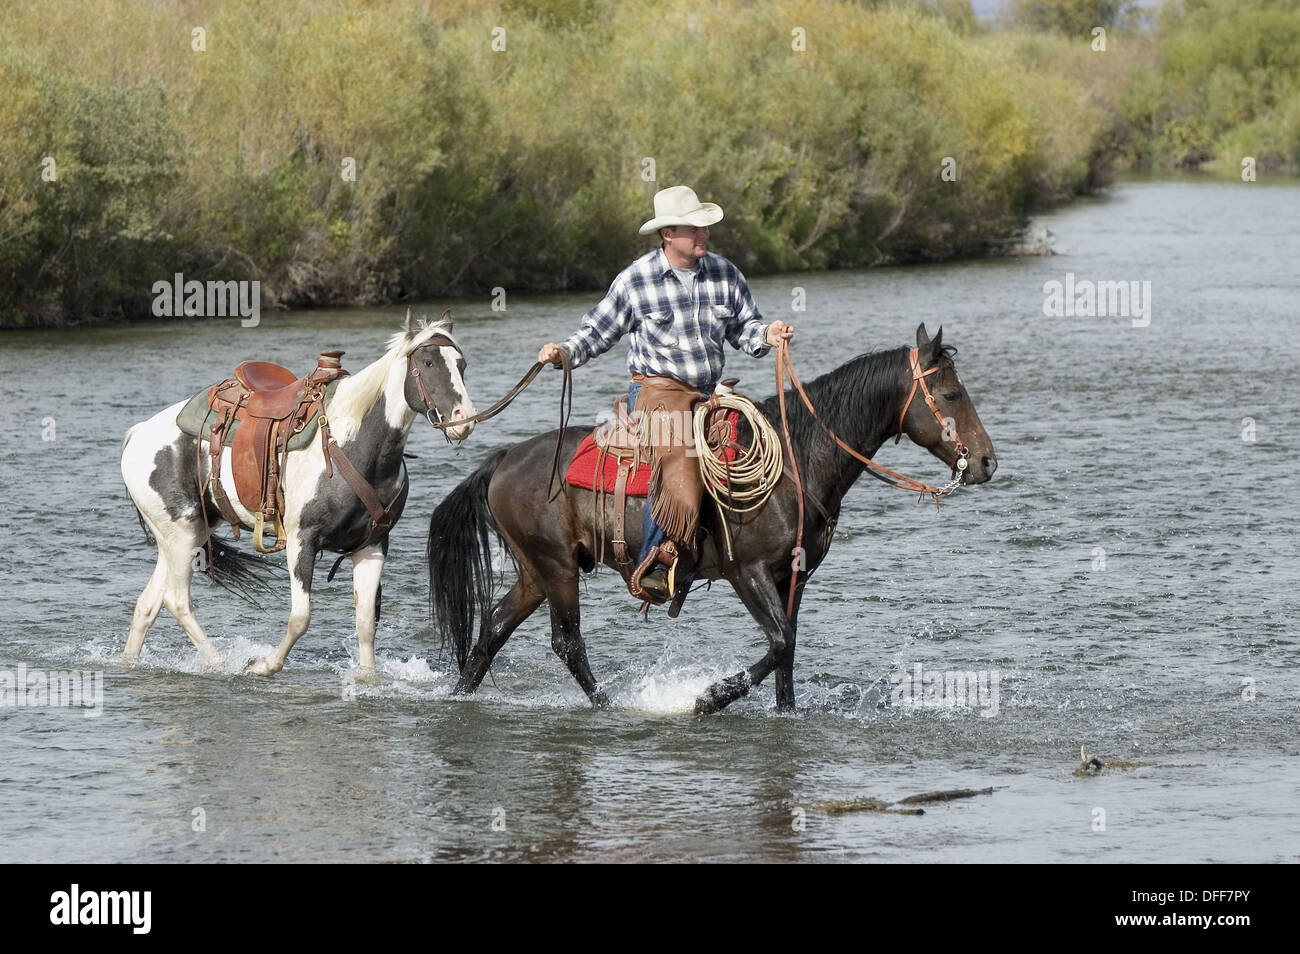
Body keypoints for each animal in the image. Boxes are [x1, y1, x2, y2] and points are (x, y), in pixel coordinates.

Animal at [121, 311, 475, 676]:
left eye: (461, 365)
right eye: (428, 362)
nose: (463, 420)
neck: (353, 443)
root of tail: (138, 434)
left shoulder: (373, 545)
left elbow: (365, 623)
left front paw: (368, 679)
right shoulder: (302, 540)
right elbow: (300, 618)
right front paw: (263, 665)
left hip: (184, 536)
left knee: (148, 604)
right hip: (182, 534)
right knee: (177, 601)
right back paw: (221, 664)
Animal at [426, 323, 996, 715]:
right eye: (951, 394)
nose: (987, 462)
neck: (797, 461)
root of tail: (503, 459)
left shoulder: (793, 576)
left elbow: (788, 650)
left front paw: (786, 714)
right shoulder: (748, 572)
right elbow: (779, 643)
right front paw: (707, 698)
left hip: (534, 571)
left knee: (491, 631)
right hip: (557, 568)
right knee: (566, 642)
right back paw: (613, 706)